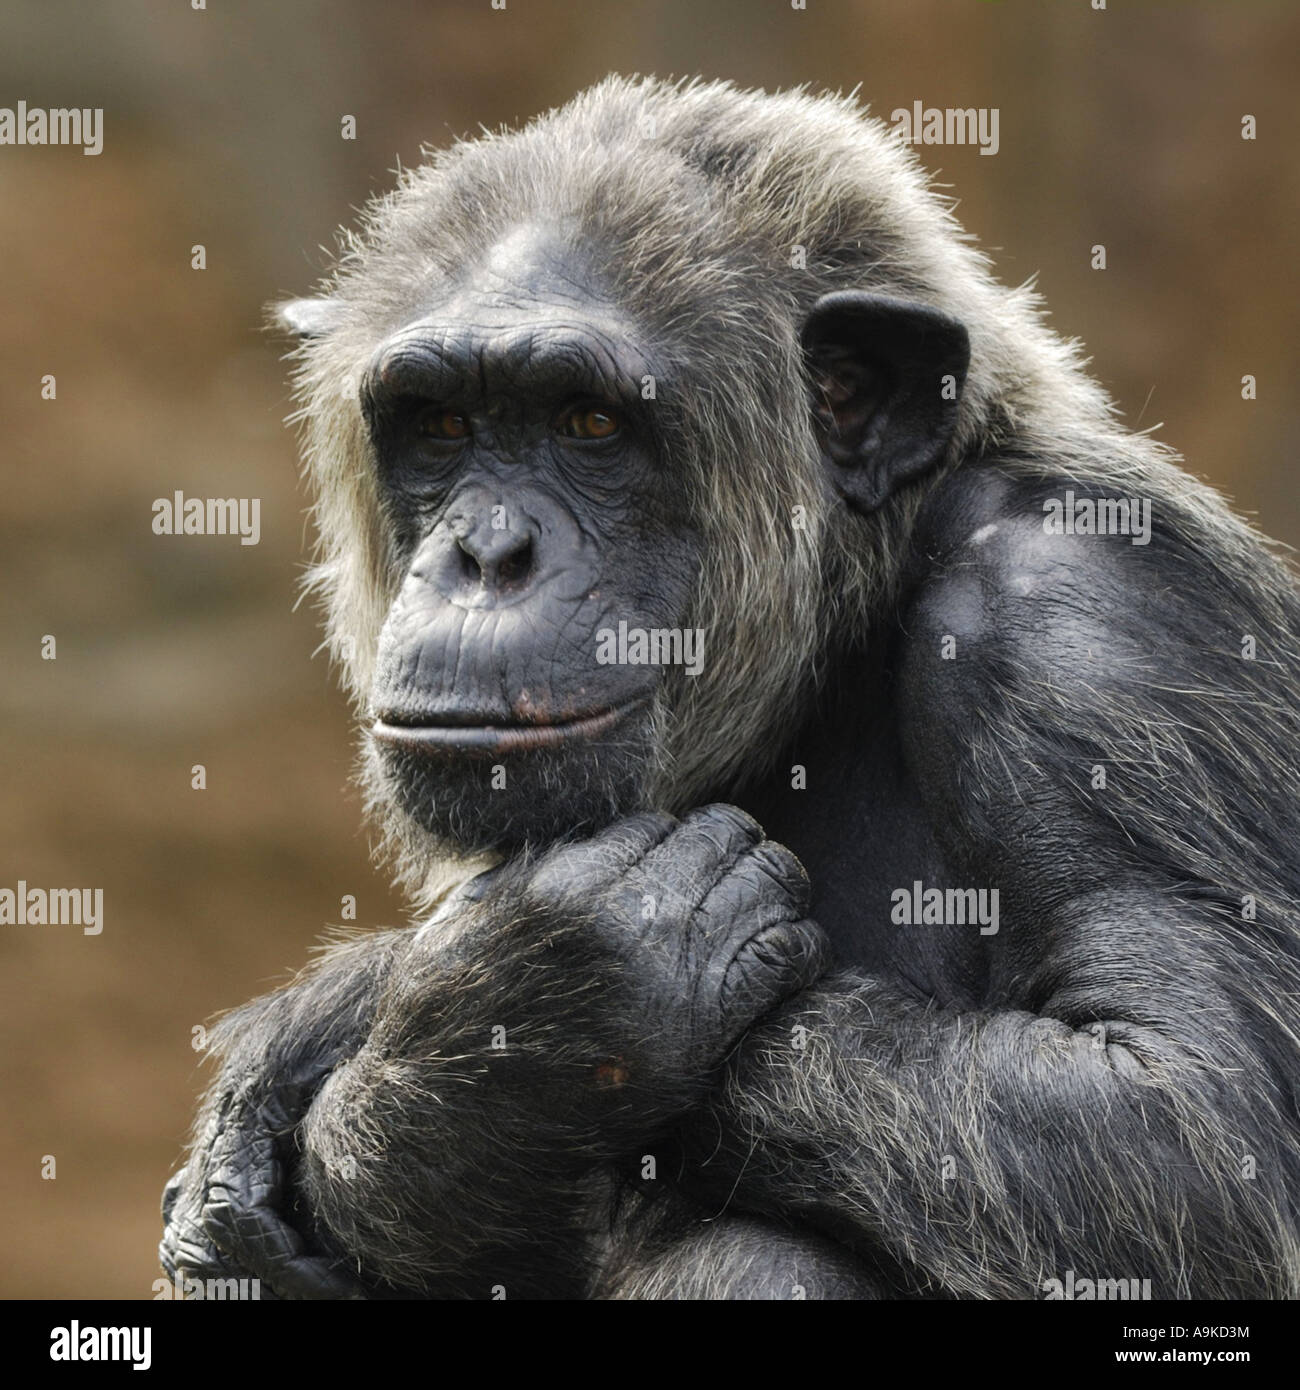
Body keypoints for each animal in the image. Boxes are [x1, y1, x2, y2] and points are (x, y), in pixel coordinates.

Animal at [161, 75, 1300, 1299]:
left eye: (589, 421)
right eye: (443, 424)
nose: (486, 553)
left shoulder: (1089, 636)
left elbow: (1186, 1127)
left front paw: (486, 1003)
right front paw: (507, 1027)